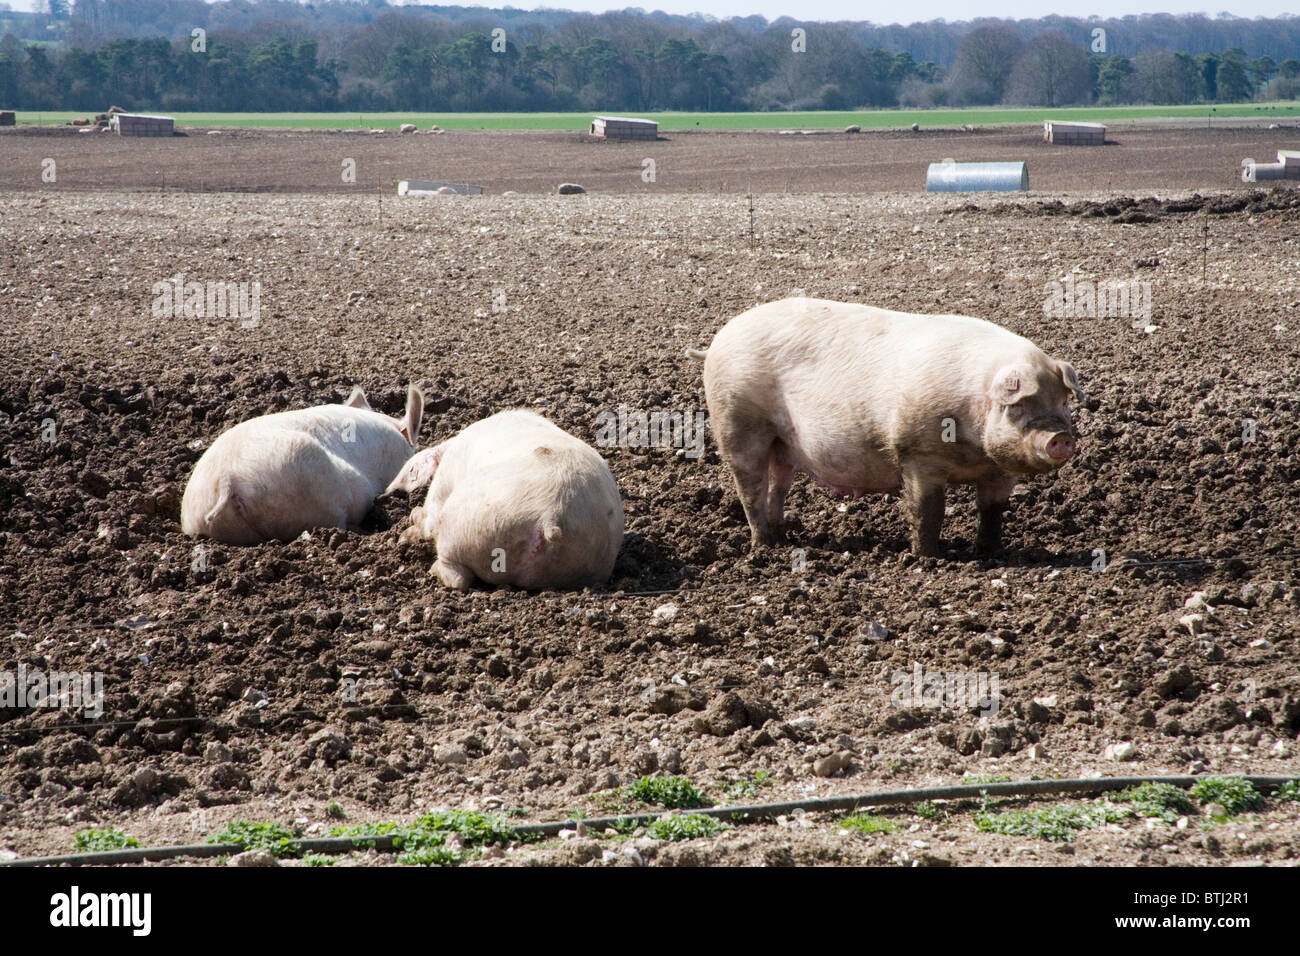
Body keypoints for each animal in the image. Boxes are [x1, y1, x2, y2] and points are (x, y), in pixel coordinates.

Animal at [385, 410, 624, 590]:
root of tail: (550, 515)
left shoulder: (443, 483)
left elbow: (428, 520)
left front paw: (409, 525)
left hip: (467, 526)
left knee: (457, 576)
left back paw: (429, 564)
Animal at [698, 298, 1082, 557]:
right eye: (1018, 406)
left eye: (1063, 402)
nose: (1060, 437)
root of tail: (720, 336)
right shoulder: (916, 453)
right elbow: (927, 511)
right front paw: (926, 558)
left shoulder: (1000, 470)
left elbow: (991, 512)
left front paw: (988, 554)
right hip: (737, 422)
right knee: (750, 488)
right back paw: (763, 547)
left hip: (782, 443)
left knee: (778, 483)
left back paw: (783, 537)